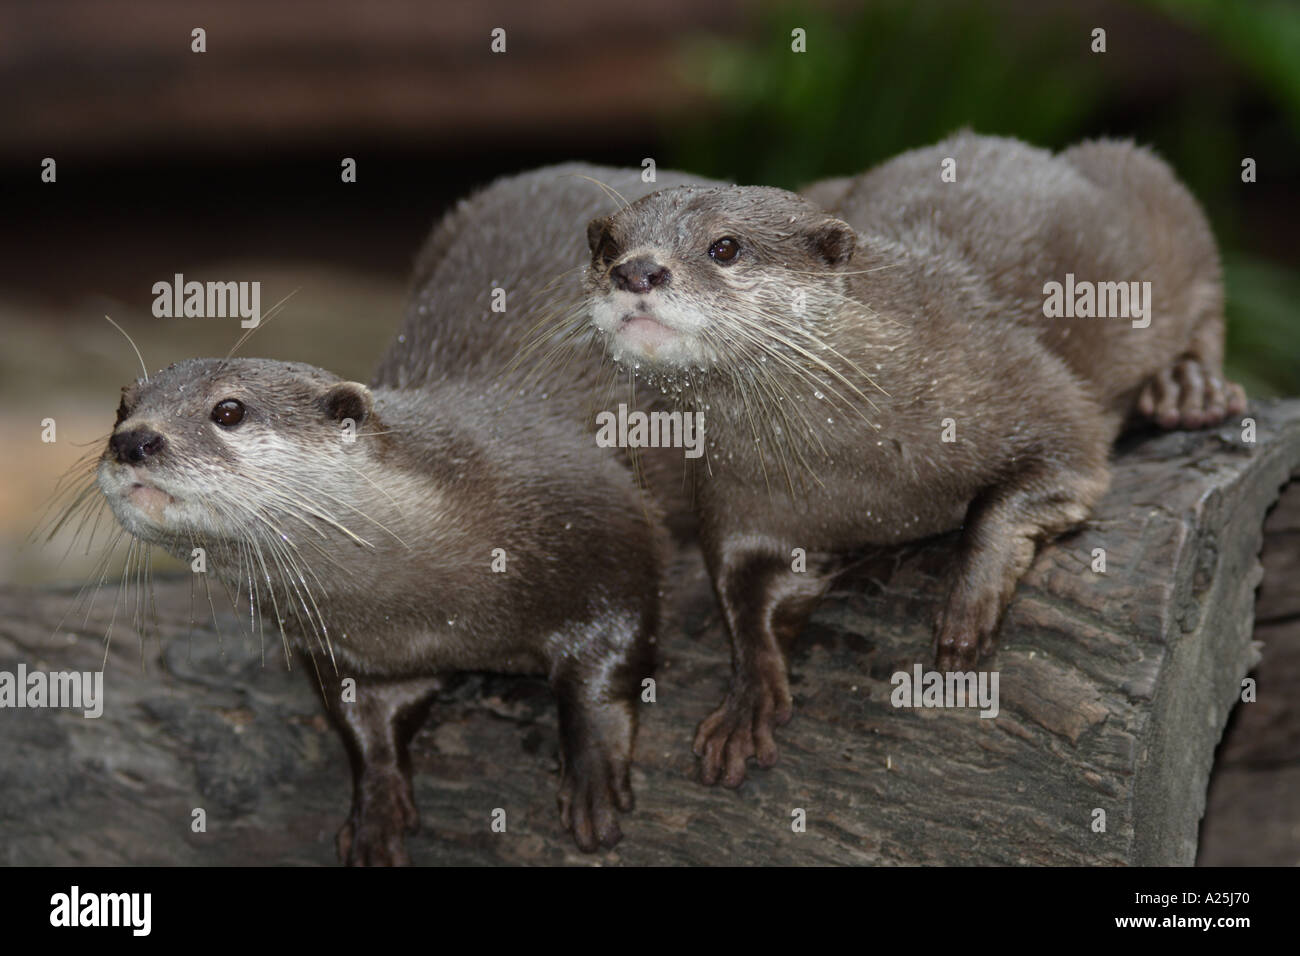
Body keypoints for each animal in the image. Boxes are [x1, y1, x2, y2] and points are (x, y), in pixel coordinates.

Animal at [96, 356, 665, 862]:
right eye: (123, 407)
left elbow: (608, 660)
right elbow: (366, 725)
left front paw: (591, 776)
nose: (132, 440)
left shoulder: (608, 539)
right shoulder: (354, 651)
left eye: (229, 410)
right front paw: (376, 812)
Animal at [578, 132, 1247, 787]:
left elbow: (1035, 478)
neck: (856, 477)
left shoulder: (1033, 393)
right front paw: (748, 697)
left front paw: (968, 611)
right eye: (608, 245)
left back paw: (1187, 388)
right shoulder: (736, 495)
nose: (636, 271)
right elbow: (743, 593)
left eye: (724, 247)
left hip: (1151, 192)